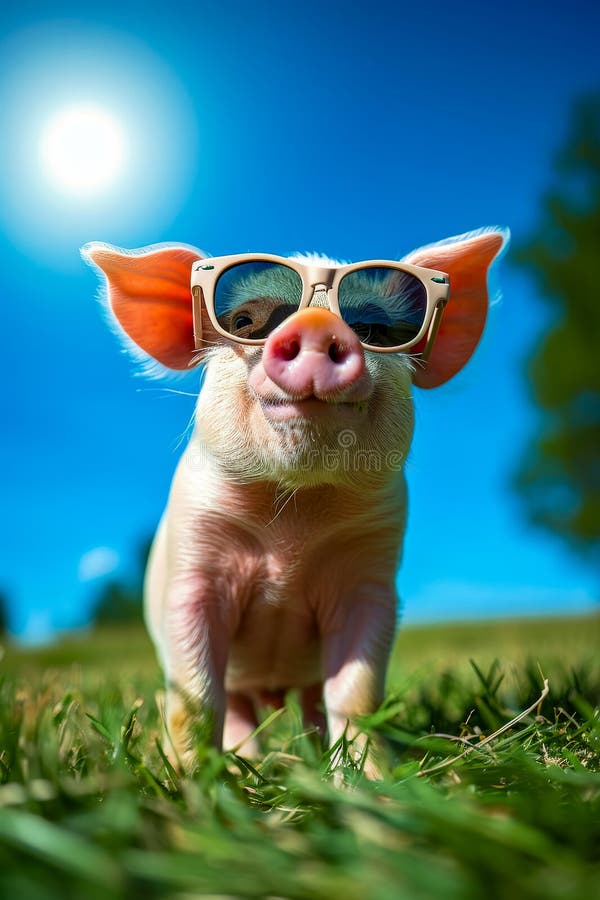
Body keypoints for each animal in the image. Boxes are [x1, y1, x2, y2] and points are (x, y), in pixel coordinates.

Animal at [83, 228, 508, 776]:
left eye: (373, 329)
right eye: (244, 322)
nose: (317, 327)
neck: (292, 525)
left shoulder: (371, 581)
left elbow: (357, 695)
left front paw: (371, 782)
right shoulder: (193, 571)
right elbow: (195, 699)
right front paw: (190, 783)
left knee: (311, 705)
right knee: (236, 709)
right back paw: (247, 764)